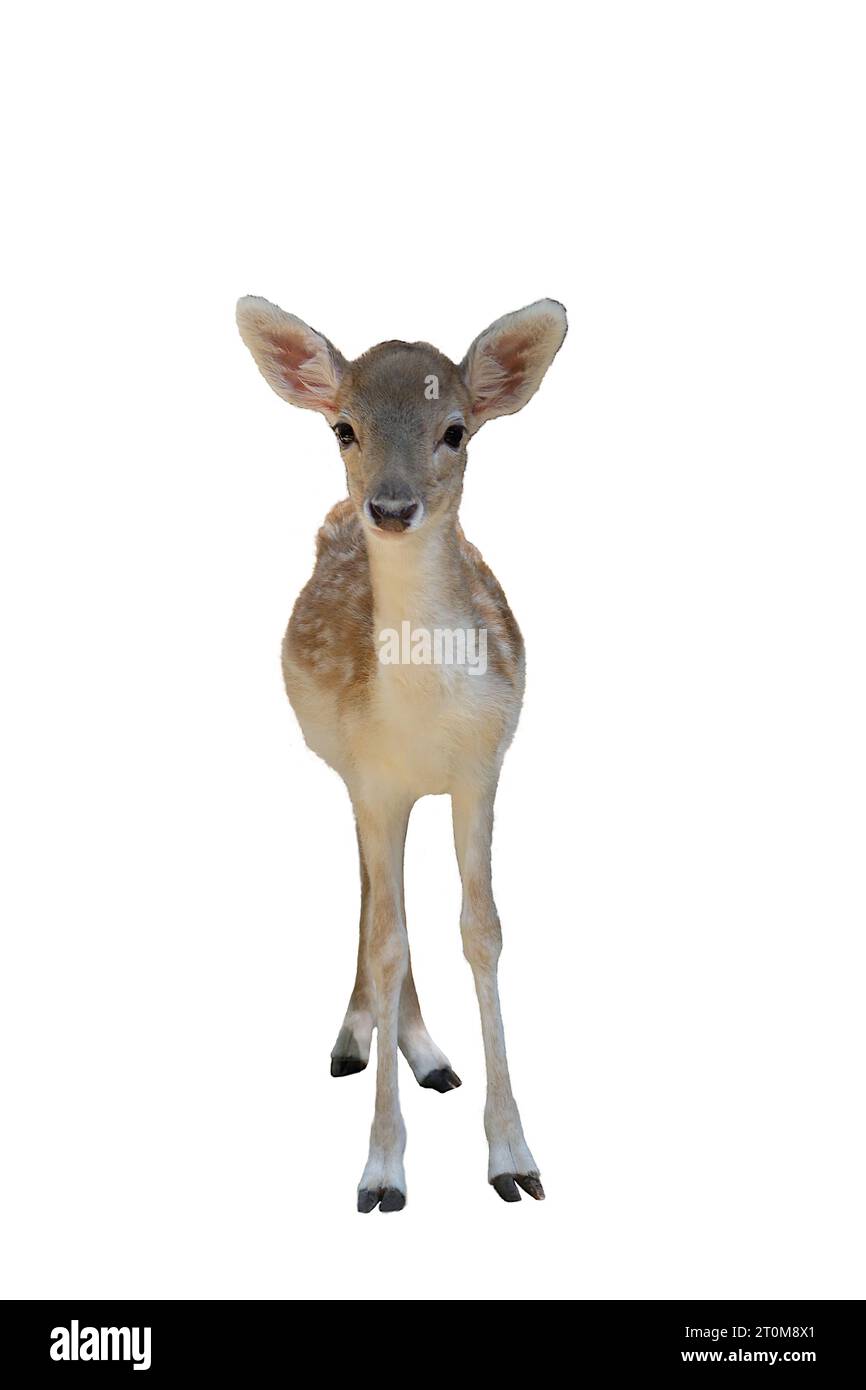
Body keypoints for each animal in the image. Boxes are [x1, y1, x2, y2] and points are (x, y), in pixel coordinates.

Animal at [236, 296, 567, 1211]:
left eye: (455, 429)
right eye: (343, 427)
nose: (389, 506)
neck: (423, 719)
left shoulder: (484, 767)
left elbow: (483, 931)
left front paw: (514, 1157)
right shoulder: (373, 777)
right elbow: (387, 943)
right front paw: (382, 1171)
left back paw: (428, 1054)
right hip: (346, 771)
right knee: (375, 897)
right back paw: (364, 1039)